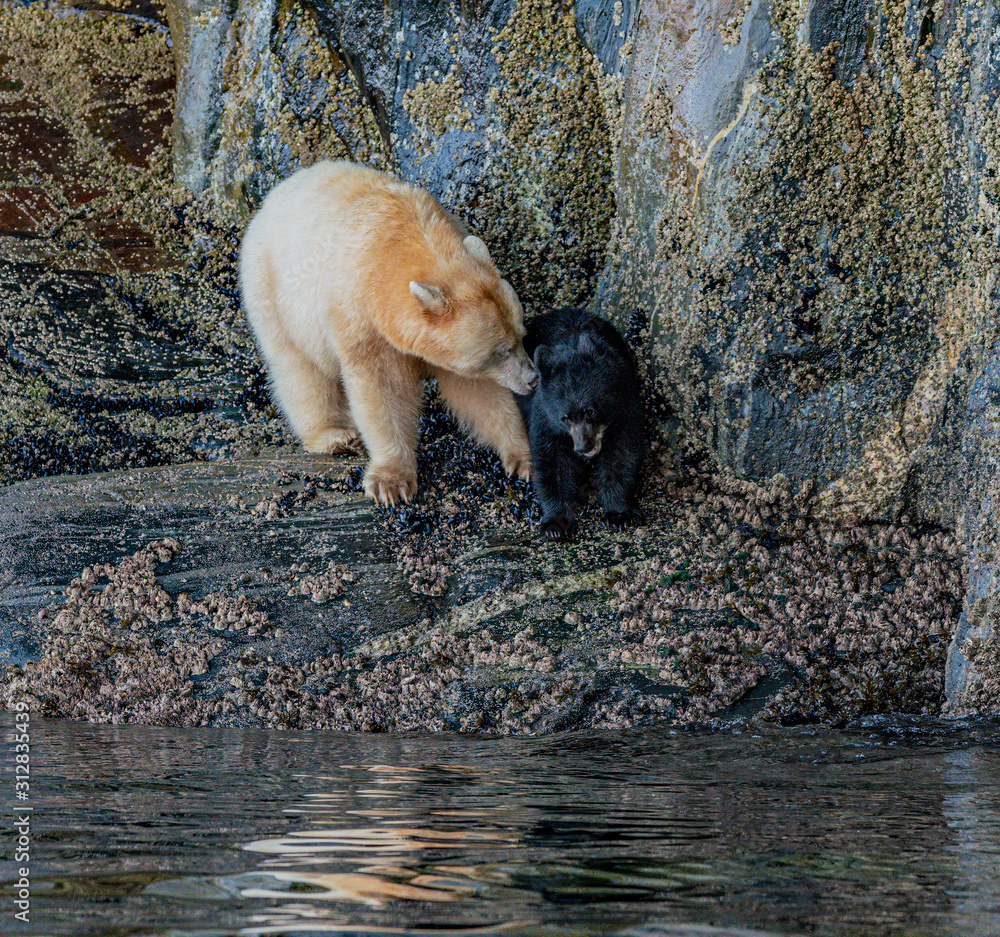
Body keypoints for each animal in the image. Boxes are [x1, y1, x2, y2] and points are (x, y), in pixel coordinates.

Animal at [239, 160, 538, 507]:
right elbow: (382, 387)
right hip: (271, 291)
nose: (533, 378)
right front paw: (391, 482)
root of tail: (272, 197)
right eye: (501, 350)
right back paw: (335, 435)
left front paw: (525, 457)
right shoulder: (360, 315)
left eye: (521, 336)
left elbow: (479, 392)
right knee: (299, 370)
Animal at [514, 307, 645, 539]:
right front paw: (556, 523)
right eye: (565, 417)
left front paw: (620, 514)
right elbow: (552, 462)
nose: (583, 446)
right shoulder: (545, 416)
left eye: (590, 411)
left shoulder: (626, 404)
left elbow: (622, 454)